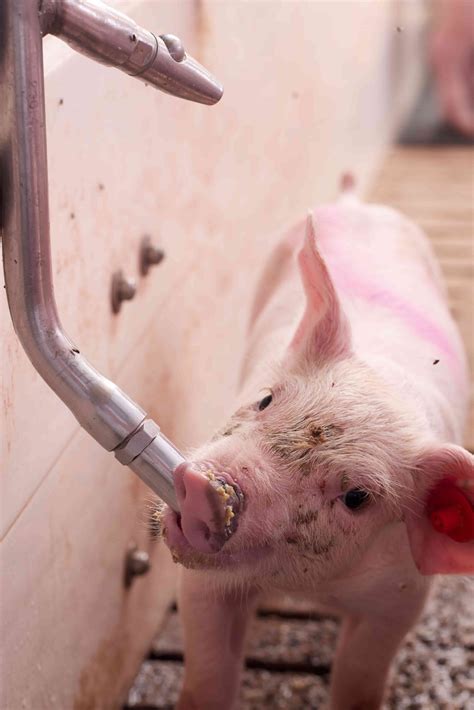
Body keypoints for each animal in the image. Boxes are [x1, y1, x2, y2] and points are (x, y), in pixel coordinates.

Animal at [162, 179, 473, 710]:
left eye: (357, 497)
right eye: (266, 399)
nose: (204, 490)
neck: (313, 590)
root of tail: (356, 202)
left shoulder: (404, 597)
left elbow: (360, 678)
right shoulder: (203, 580)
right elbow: (207, 674)